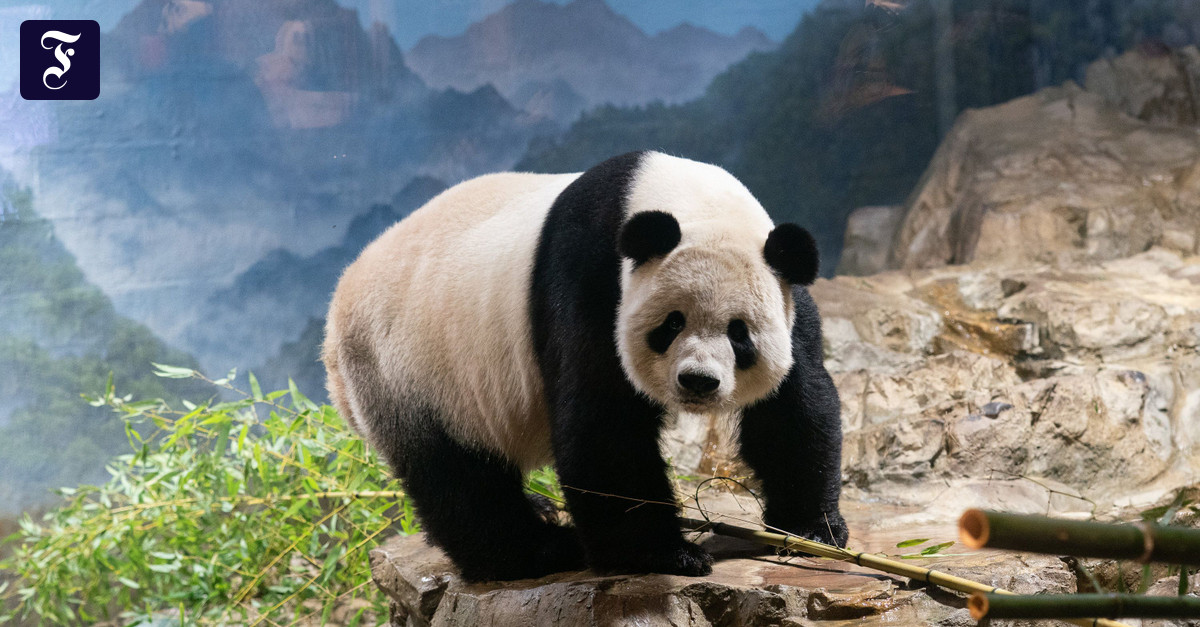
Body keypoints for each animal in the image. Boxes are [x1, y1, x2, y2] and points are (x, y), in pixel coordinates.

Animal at [323, 151, 847, 581]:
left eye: (740, 333)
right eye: (672, 323)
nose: (698, 382)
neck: (683, 198)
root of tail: (336, 312)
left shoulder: (786, 292)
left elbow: (794, 409)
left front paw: (811, 530)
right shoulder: (589, 280)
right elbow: (603, 425)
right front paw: (663, 554)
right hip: (411, 376)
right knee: (459, 478)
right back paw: (541, 550)